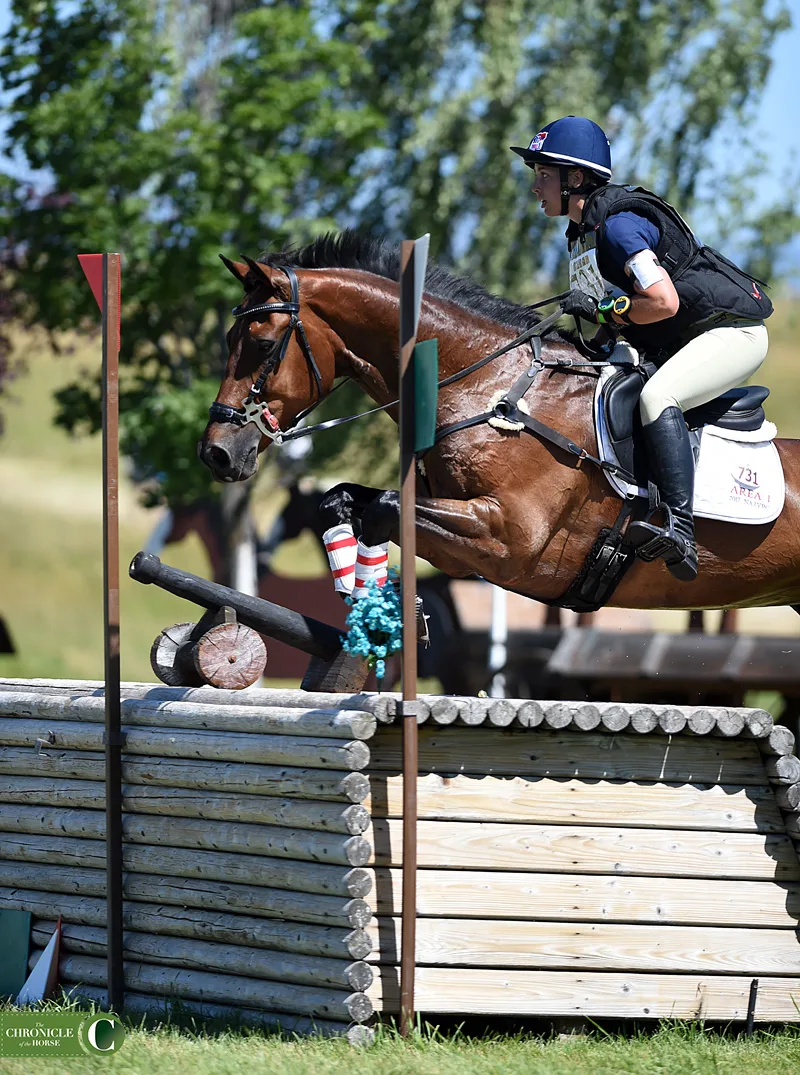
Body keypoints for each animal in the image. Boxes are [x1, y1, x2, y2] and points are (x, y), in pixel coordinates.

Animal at [199, 232, 800, 614]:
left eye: (259, 344)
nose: (216, 452)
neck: (485, 385)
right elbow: (342, 499)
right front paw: (359, 590)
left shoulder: (508, 539)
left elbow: (386, 508)